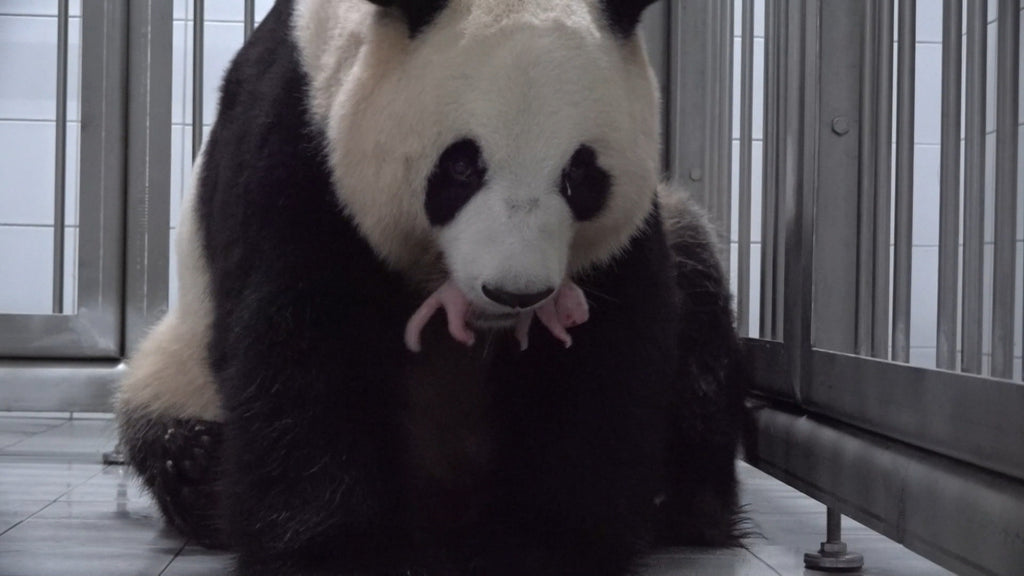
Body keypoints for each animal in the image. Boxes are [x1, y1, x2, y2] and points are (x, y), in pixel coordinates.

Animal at [115, 1, 751, 574]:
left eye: (580, 174)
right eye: (461, 167)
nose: (515, 293)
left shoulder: (619, 240)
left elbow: (606, 362)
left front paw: (547, 541)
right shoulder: (300, 143)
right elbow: (302, 347)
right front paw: (339, 548)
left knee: (698, 285)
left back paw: (682, 502)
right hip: (177, 363)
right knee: (160, 423)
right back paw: (198, 470)